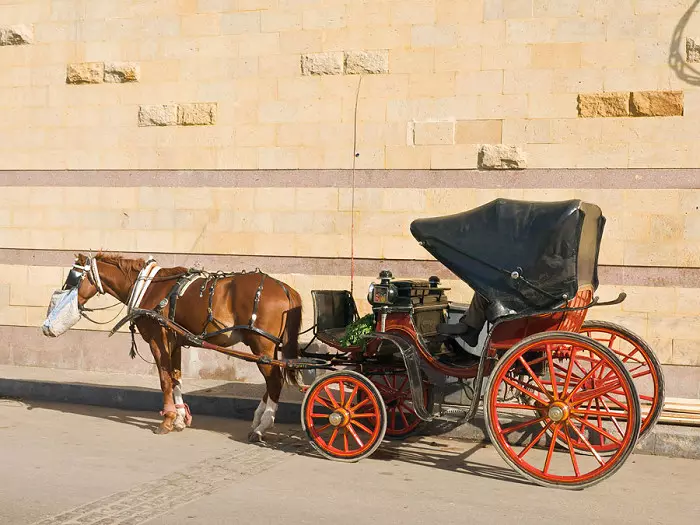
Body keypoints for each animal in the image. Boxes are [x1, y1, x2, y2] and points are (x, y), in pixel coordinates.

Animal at [45, 252, 302, 440]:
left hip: (261, 344)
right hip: (268, 349)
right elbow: (176, 377)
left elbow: (164, 379)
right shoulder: (175, 342)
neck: (149, 288)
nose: (64, 291)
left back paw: (263, 425)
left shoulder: (158, 341)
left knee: (274, 381)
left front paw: (167, 420)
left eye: (72, 278)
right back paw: (258, 419)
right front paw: (179, 418)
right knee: (272, 379)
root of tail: (286, 288)